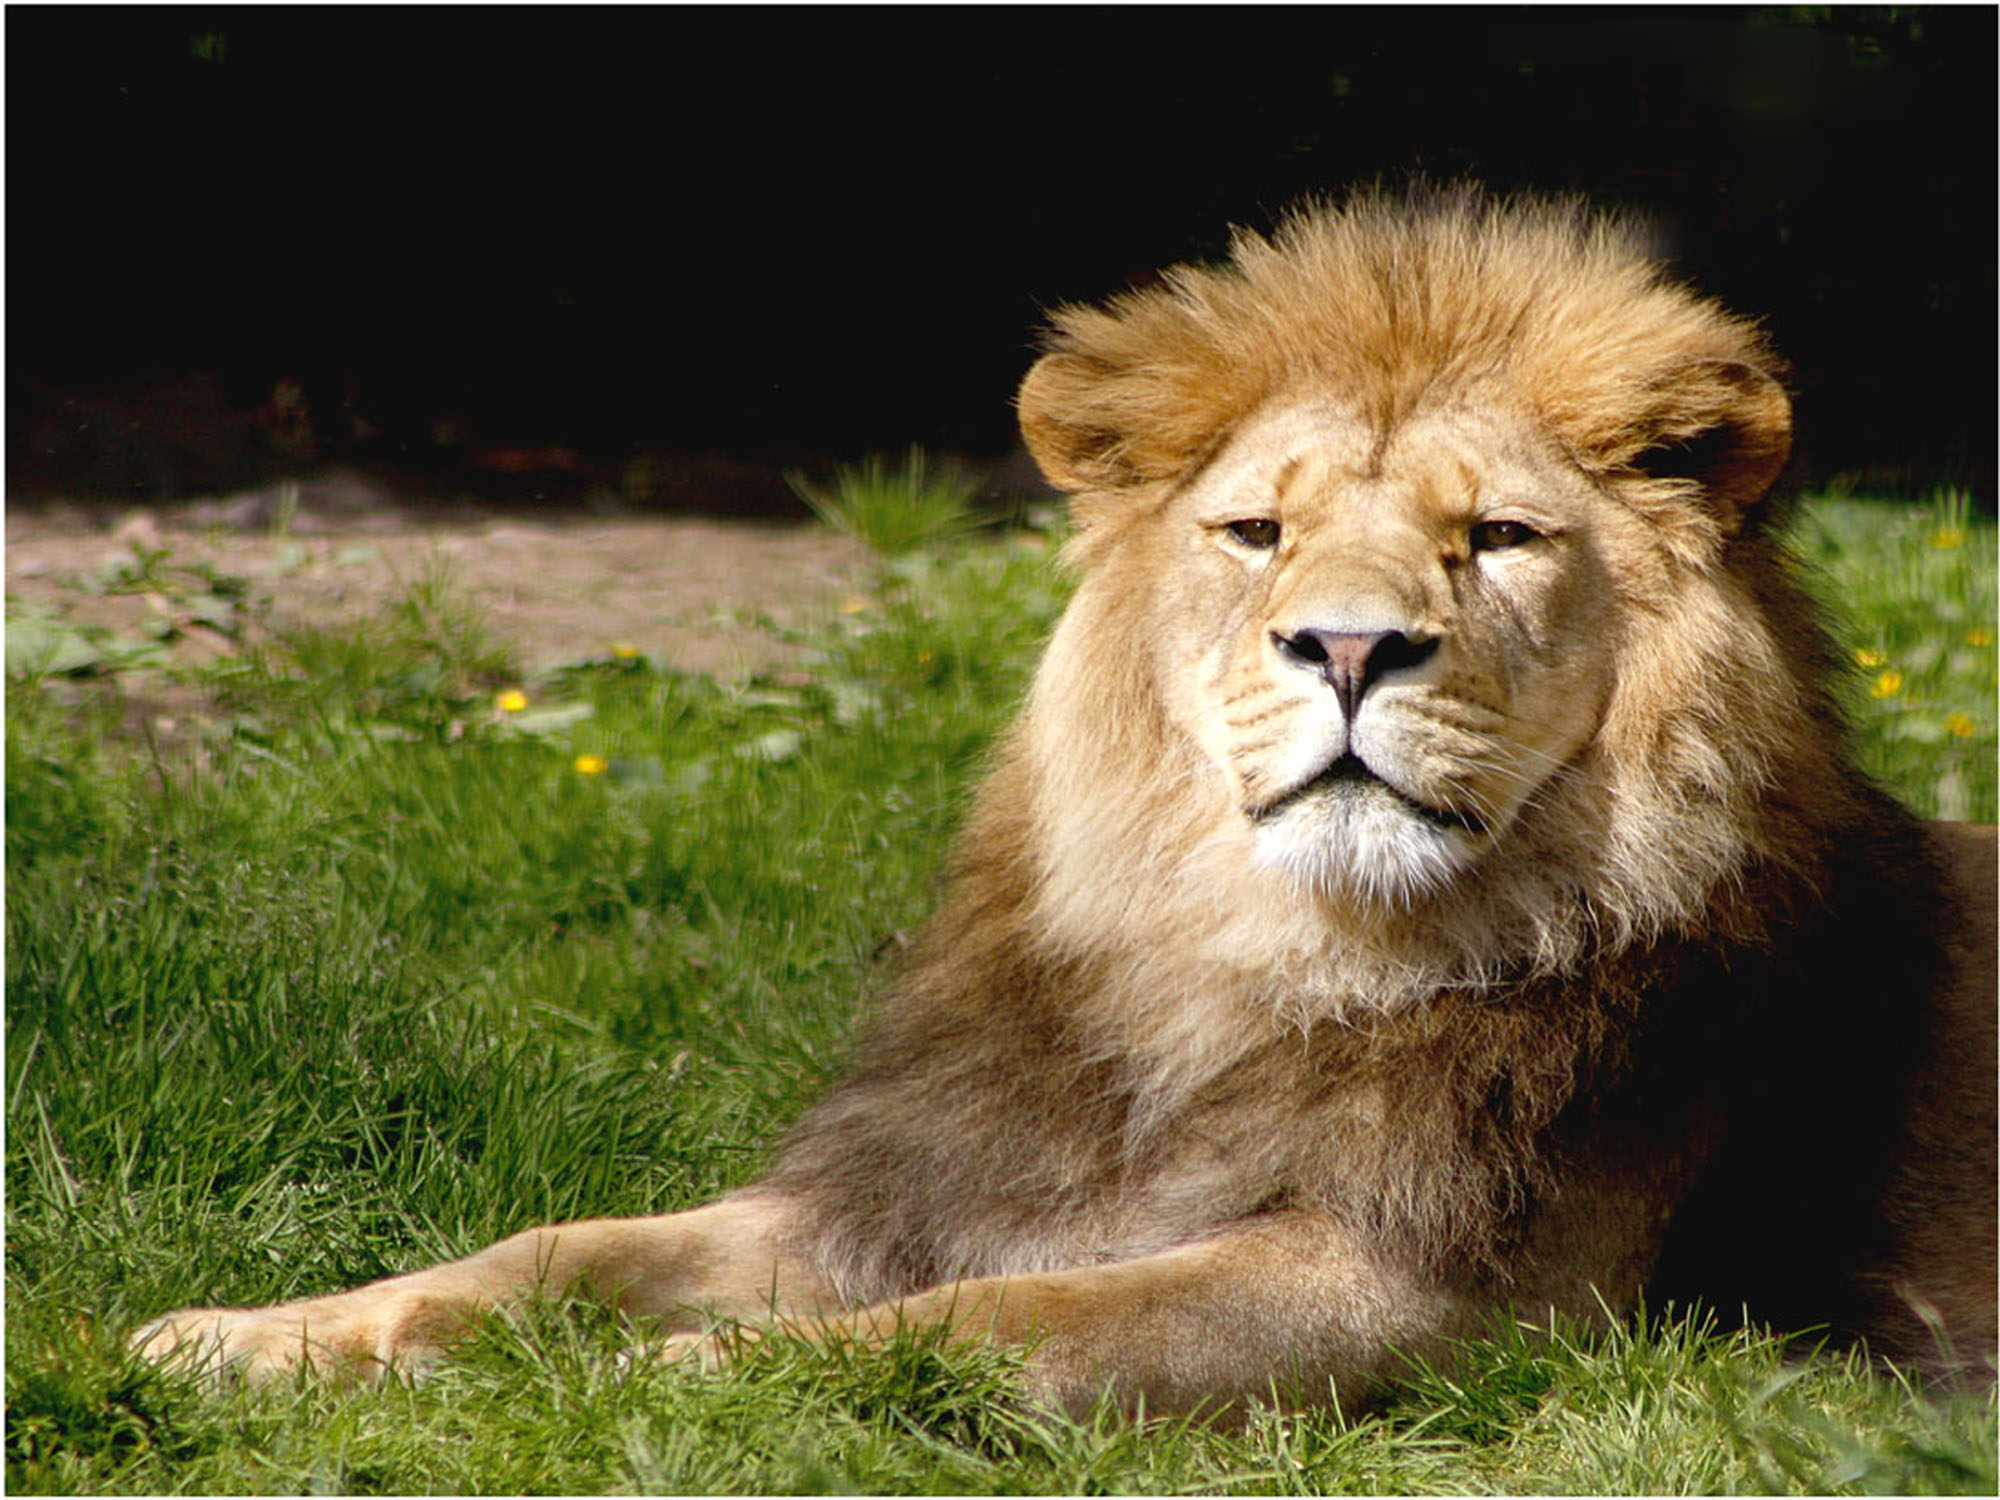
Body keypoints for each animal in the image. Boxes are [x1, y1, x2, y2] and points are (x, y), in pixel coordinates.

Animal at [136, 187, 1997, 1413]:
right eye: (1257, 533)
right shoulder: (904, 1191)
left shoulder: (1447, 1300)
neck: (1249, 964)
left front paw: (701, 1377)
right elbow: (548, 1250)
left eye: (1499, 539)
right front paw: (239, 1337)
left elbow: (1015, 1324)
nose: (1350, 645)